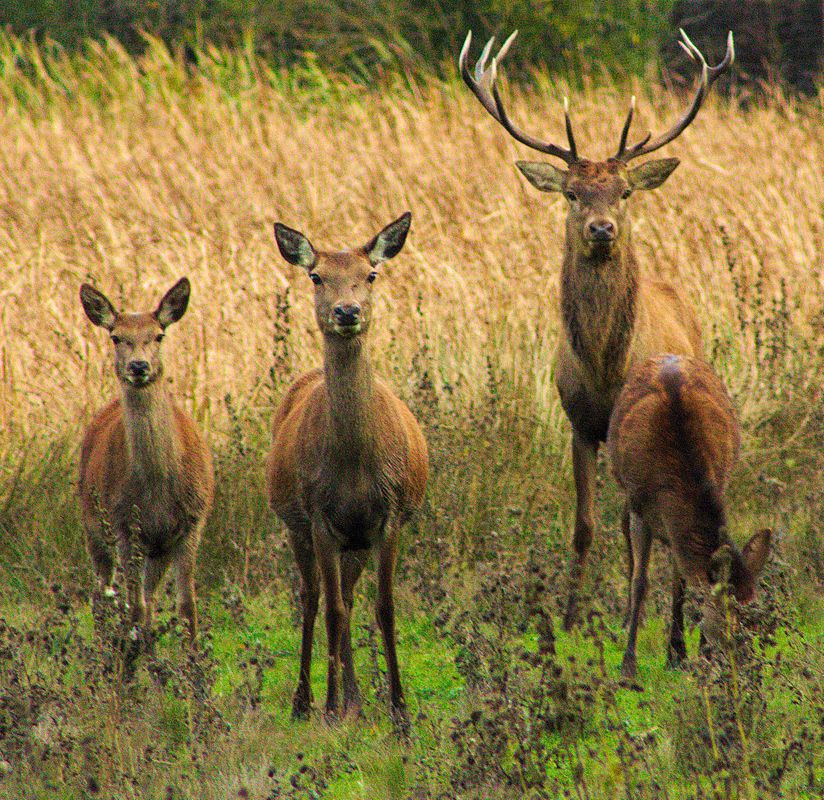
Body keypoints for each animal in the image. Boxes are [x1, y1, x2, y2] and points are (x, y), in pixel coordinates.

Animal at [77, 278, 214, 648]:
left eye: (159, 335)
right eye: (115, 337)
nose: (138, 367)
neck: (156, 492)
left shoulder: (192, 522)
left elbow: (186, 606)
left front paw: (194, 661)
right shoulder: (123, 523)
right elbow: (133, 608)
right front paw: (128, 659)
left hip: (157, 549)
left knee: (147, 602)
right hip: (92, 524)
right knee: (102, 596)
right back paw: (104, 652)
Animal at [268, 211, 428, 732]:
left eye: (371, 274)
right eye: (317, 276)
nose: (347, 311)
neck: (355, 469)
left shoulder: (390, 515)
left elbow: (385, 608)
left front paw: (400, 712)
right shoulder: (319, 515)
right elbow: (333, 610)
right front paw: (331, 707)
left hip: (355, 541)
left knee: (350, 596)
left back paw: (357, 698)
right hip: (295, 523)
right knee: (314, 598)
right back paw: (306, 701)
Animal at [460, 28, 736, 628]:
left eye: (625, 192)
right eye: (571, 193)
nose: (602, 229)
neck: (606, 367)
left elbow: (635, 534)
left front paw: (632, 616)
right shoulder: (578, 421)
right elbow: (584, 526)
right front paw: (567, 619)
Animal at [604, 354, 772, 680]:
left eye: (757, 625)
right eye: (729, 627)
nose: (747, 679)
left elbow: (682, 584)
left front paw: (682, 654)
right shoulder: (639, 504)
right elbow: (639, 581)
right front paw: (628, 665)